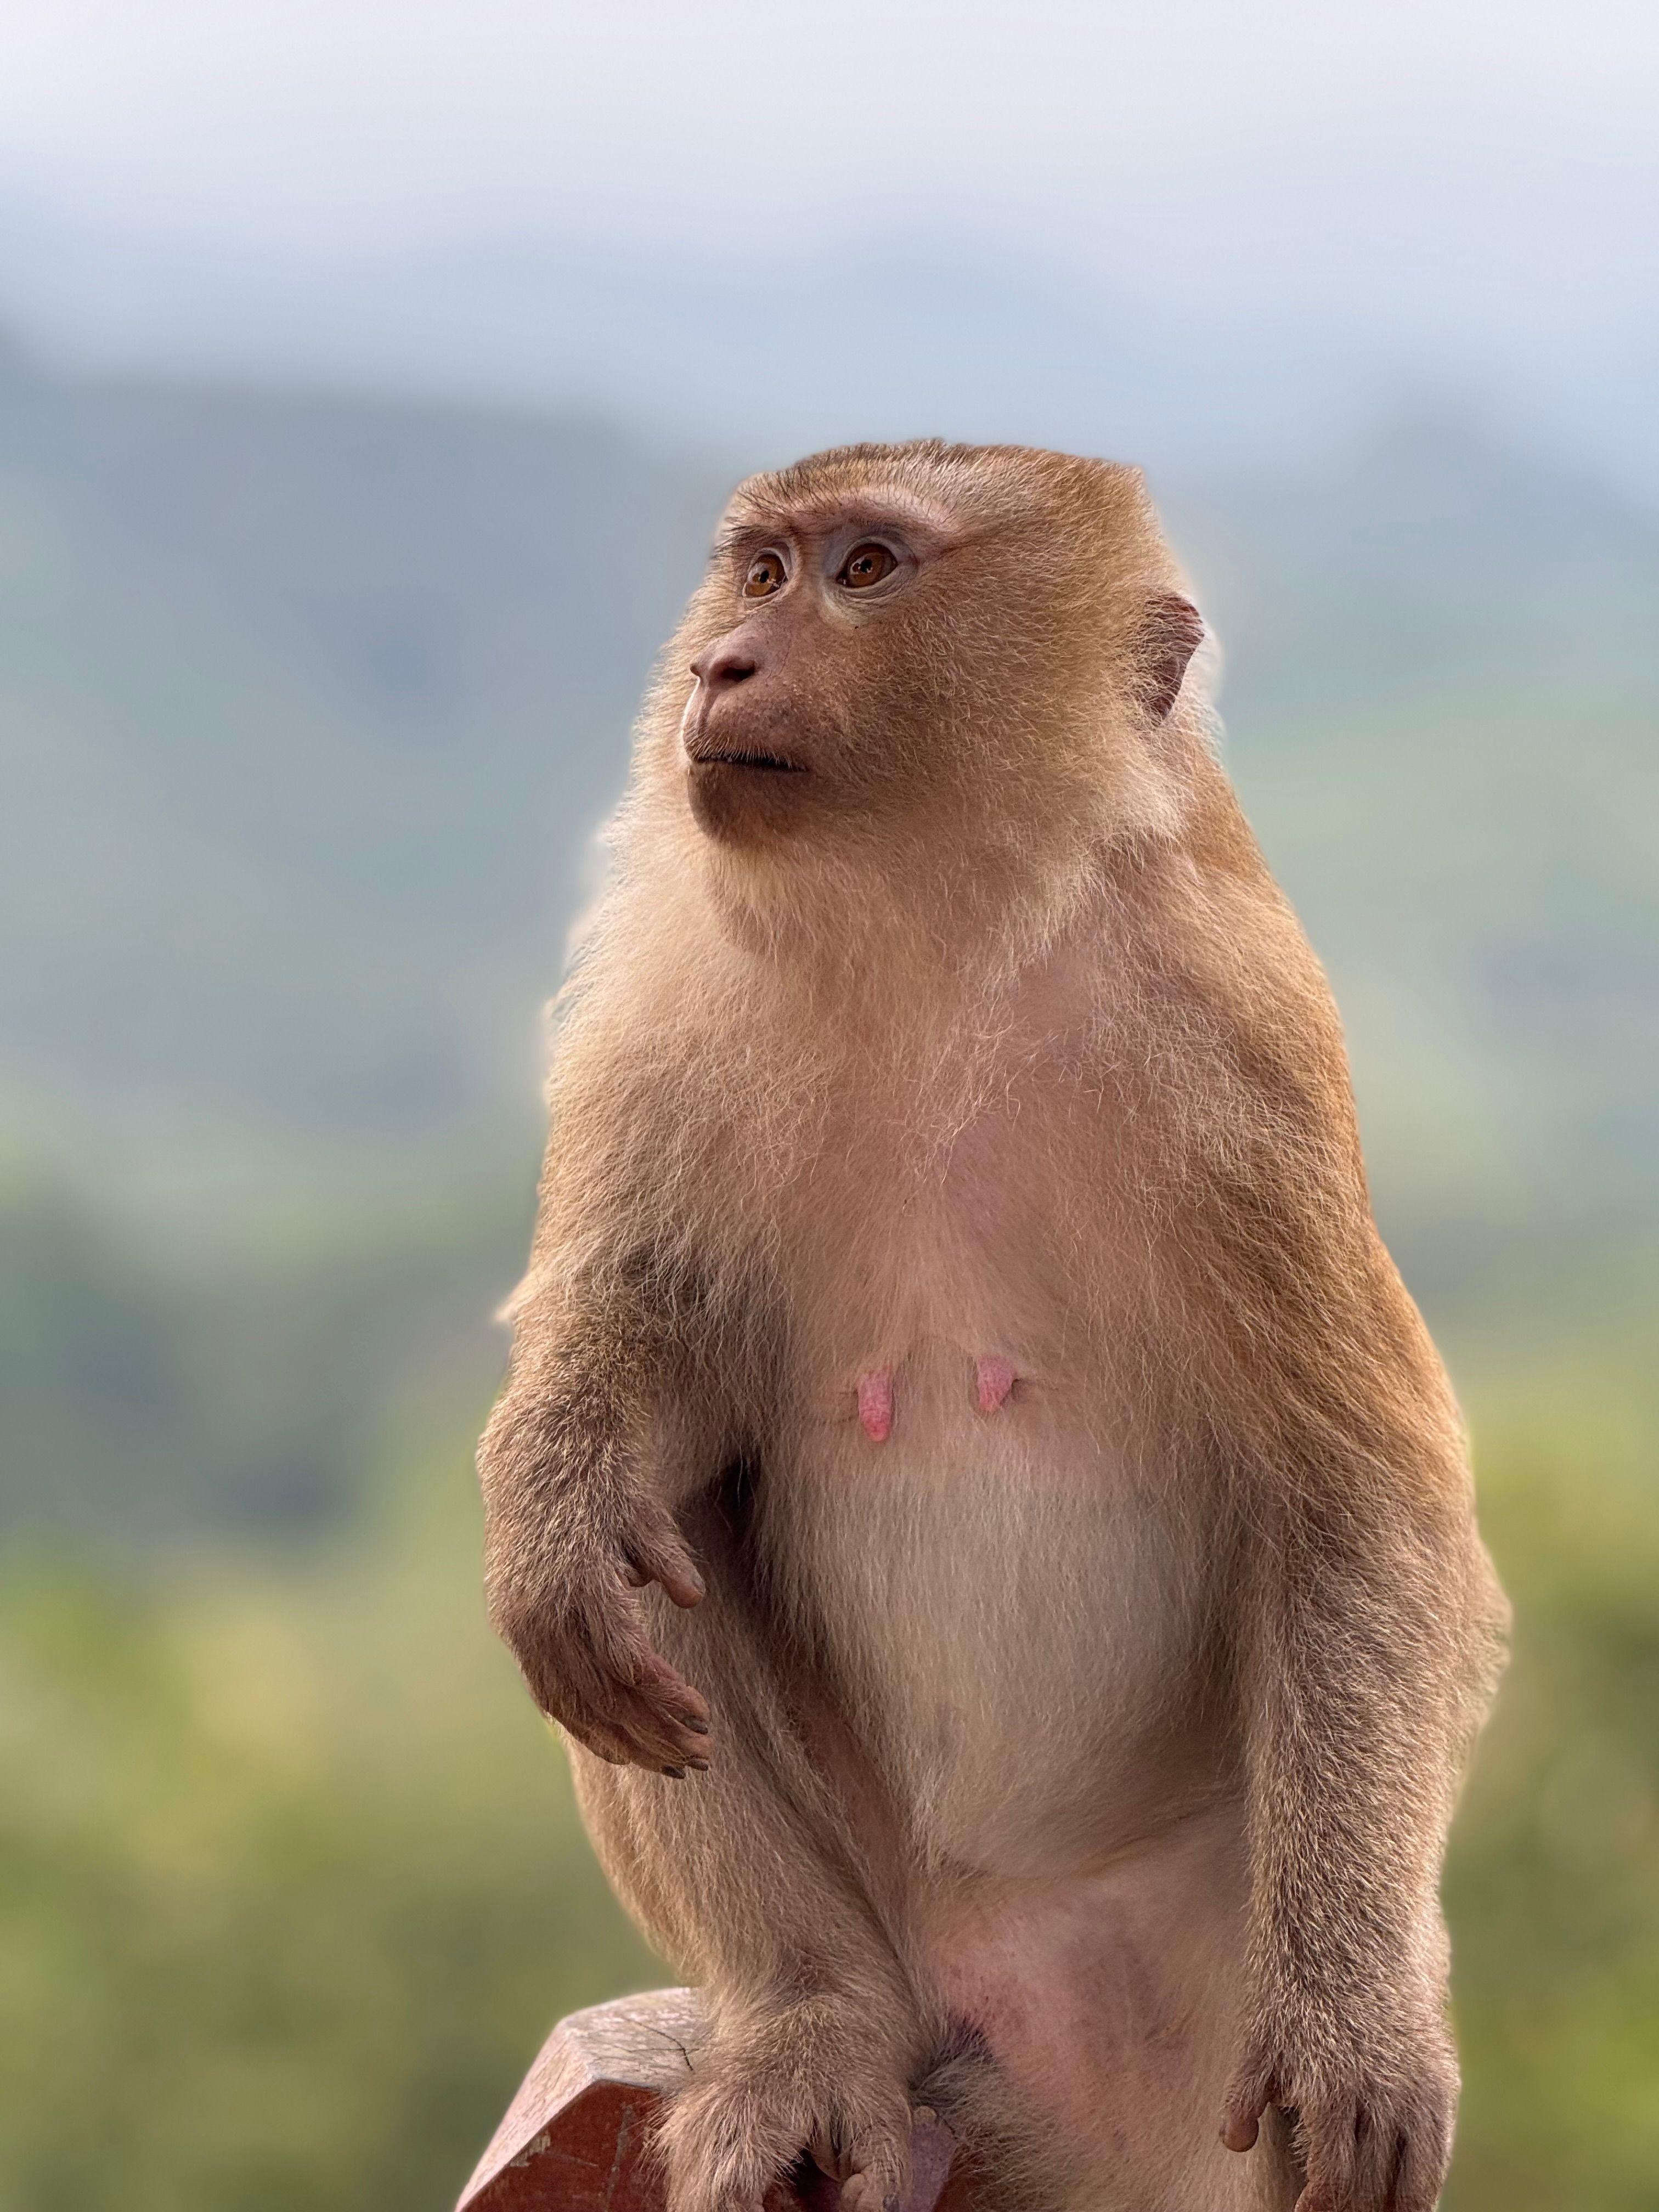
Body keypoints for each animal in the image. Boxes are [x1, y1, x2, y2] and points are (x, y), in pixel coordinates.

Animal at [477, 441, 1508, 2212]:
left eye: (867, 572)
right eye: (762, 572)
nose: (720, 665)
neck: (941, 939)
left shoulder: (1247, 1050)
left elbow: (1358, 1501)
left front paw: (1359, 2031)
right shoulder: (662, 1005)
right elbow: (646, 1371)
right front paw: (557, 1488)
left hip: (1201, 2002)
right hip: (902, 1952)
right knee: (648, 1559)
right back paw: (805, 2028)